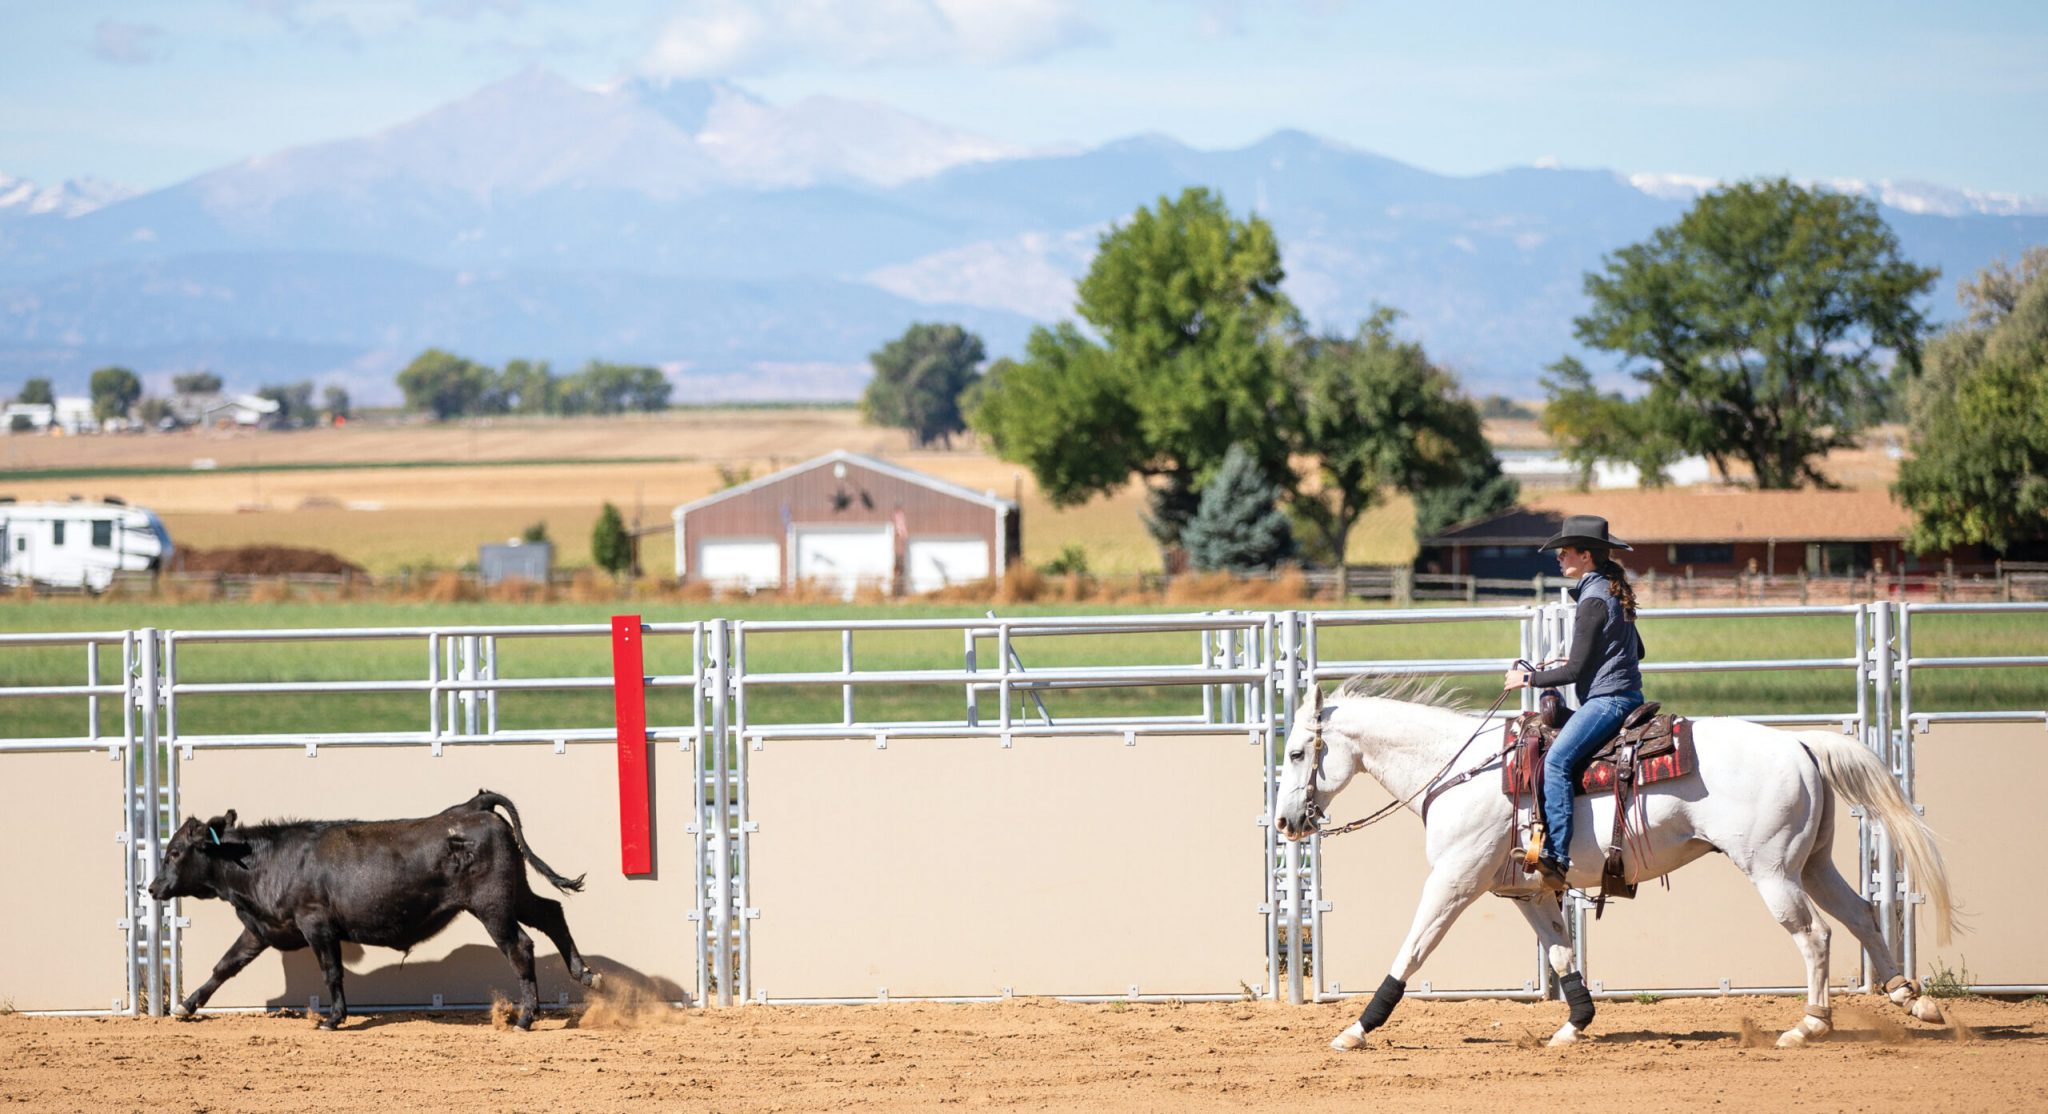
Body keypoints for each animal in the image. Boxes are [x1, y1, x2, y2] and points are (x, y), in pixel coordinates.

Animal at [148, 789, 600, 1030]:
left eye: (174, 852)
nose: (152, 887)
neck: (268, 861)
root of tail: (472, 808)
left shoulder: (317, 925)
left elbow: (332, 972)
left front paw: (333, 1018)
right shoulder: (261, 929)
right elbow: (225, 966)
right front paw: (187, 1005)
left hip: (493, 906)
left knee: (521, 946)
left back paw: (526, 1016)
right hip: (515, 893)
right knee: (552, 913)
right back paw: (584, 973)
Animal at [1274, 674, 1955, 1051]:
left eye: (1297, 751)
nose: (1284, 823)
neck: (1461, 769)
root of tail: (1799, 743)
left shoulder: (1453, 881)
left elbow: (1411, 951)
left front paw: (1356, 1029)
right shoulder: (1526, 891)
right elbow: (1560, 954)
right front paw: (1574, 1025)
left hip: (1773, 872)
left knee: (1815, 935)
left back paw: (1809, 1025)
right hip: (1811, 862)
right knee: (1861, 915)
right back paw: (1913, 1000)